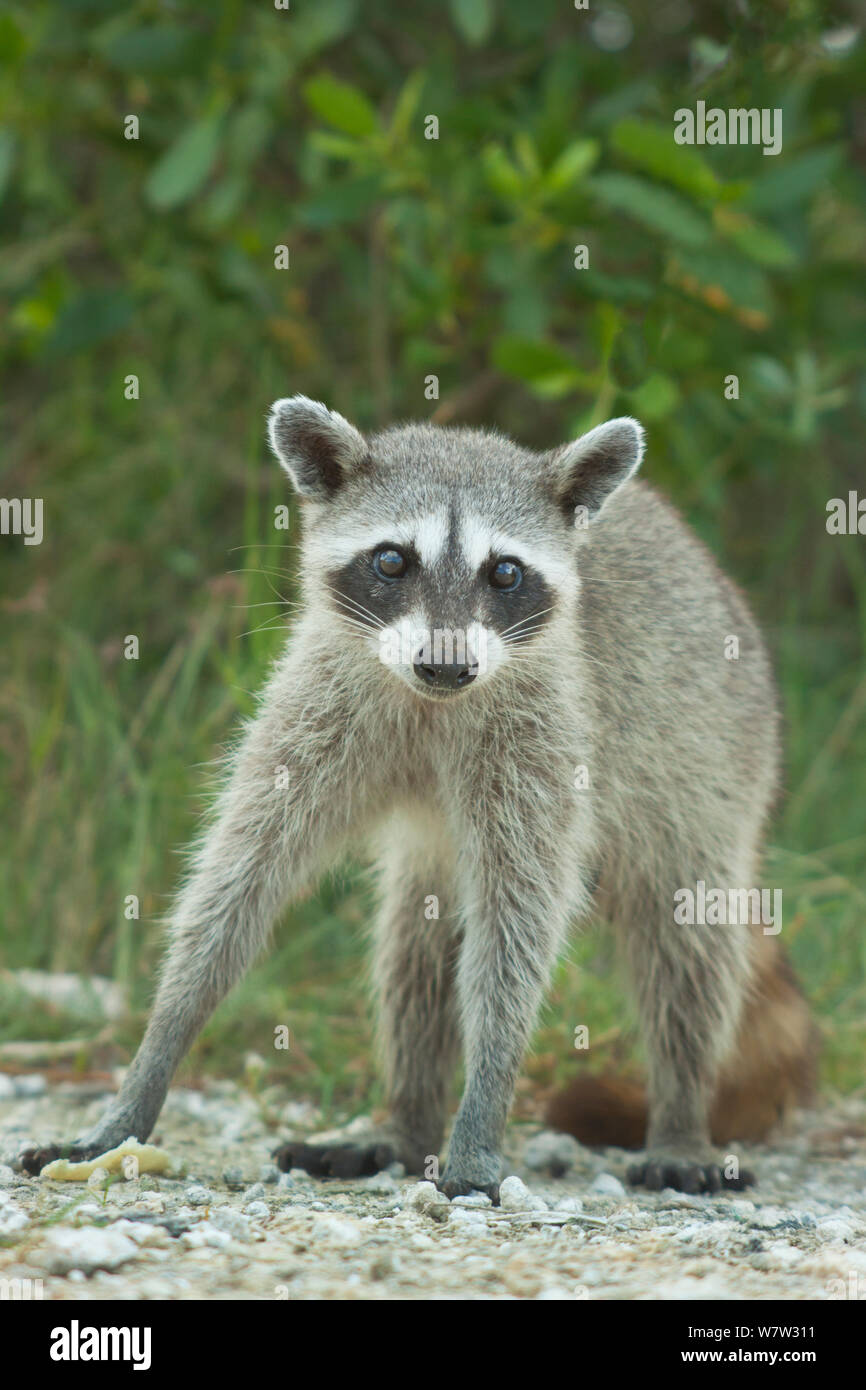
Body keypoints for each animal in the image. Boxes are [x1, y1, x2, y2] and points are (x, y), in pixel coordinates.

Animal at [20, 397, 815, 1197]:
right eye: (392, 560)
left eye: (505, 572)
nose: (446, 665)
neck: (428, 702)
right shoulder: (320, 702)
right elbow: (236, 884)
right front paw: (148, 1070)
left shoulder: (545, 738)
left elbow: (517, 925)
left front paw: (483, 1110)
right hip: (440, 839)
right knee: (414, 945)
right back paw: (407, 1121)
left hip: (711, 766)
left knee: (686, 941)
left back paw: (681, 1116)